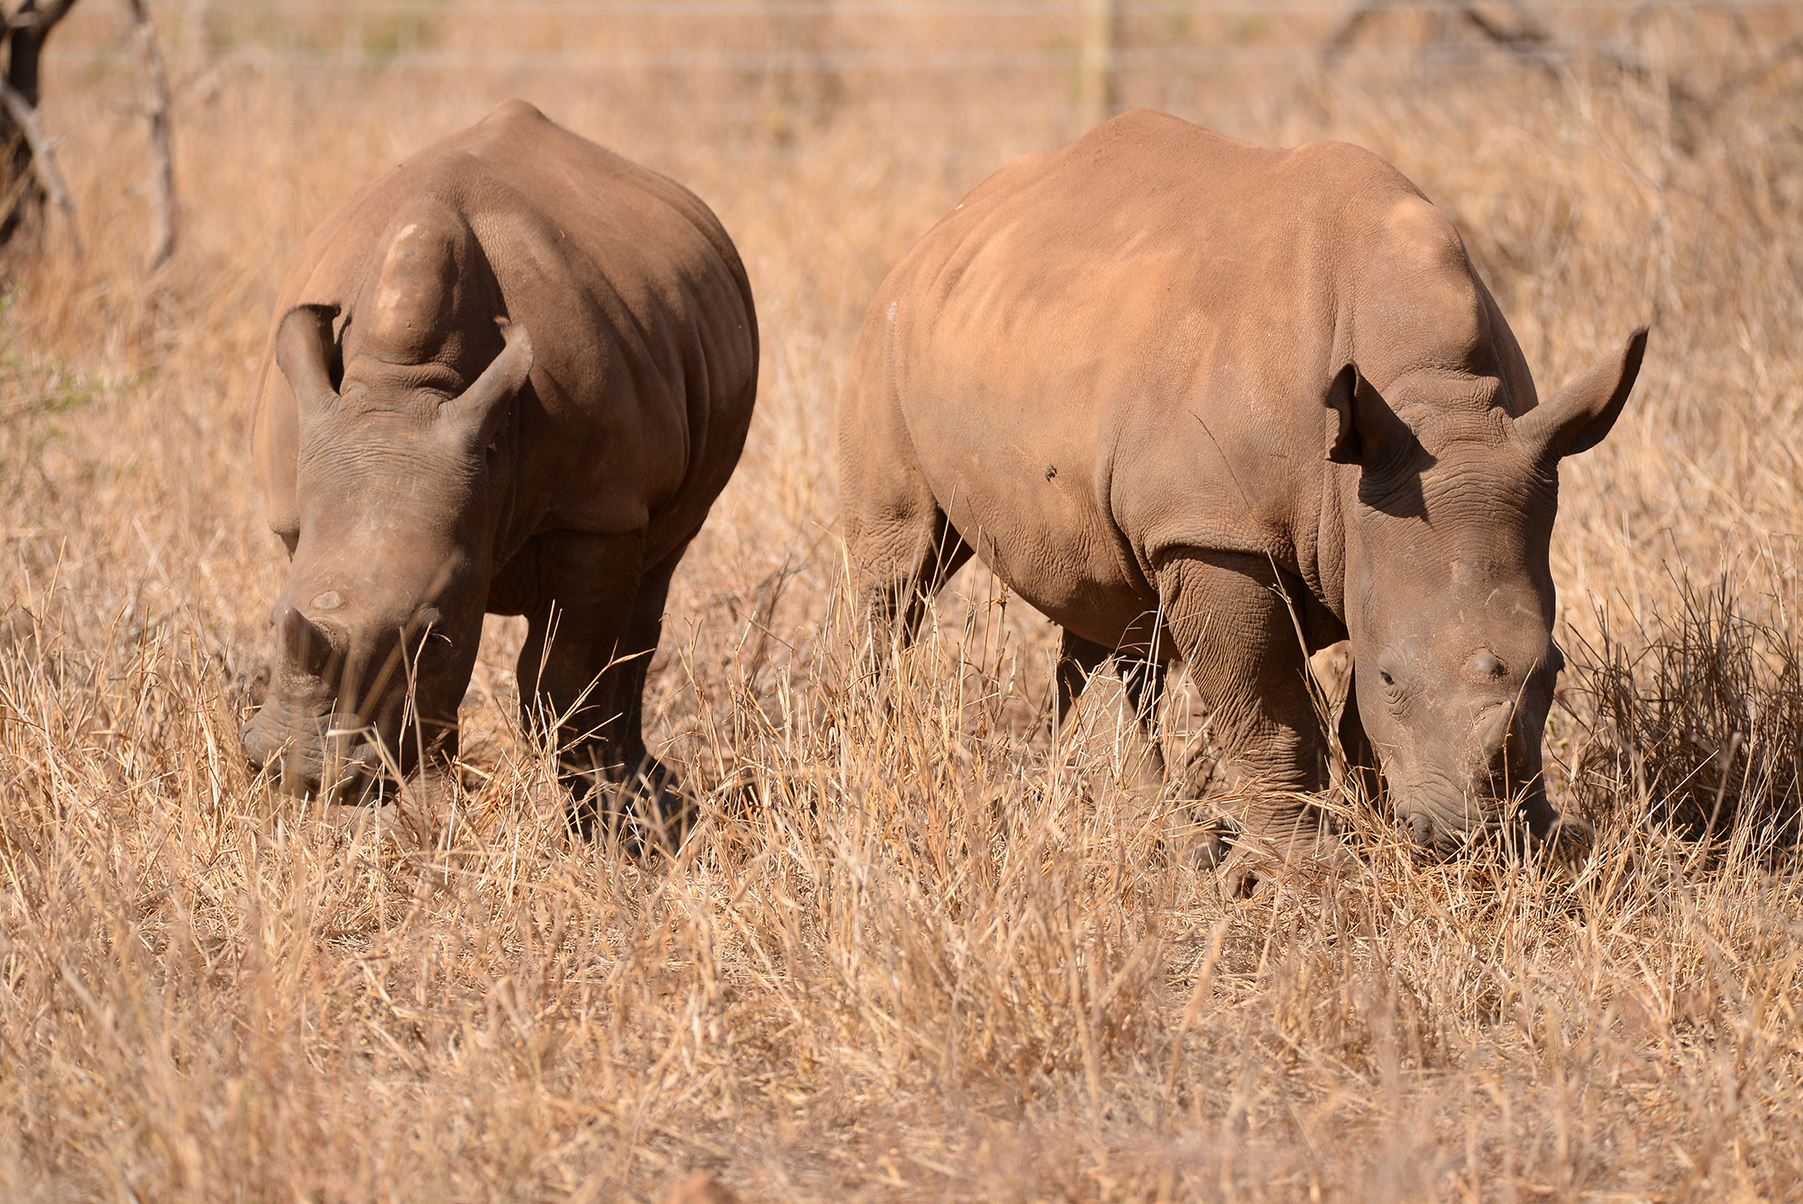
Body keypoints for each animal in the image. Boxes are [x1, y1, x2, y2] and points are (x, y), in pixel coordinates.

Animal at [240, 100, 758, 838]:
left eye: (431, 635)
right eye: (270, 617)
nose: (302, 774)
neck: (402, 387)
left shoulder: (596, 511)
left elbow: (561, 680)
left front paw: (605, 829)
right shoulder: (301, 514)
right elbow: (429, 706)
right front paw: (428, 824)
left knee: (654, 583)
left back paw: (652, 800)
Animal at [841, 110, 1645, 894]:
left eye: (1555, 668)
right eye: (1391, 673)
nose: (1479, 840)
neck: (1438, 397)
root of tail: (944, 226)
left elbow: (1350, 717)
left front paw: (1382, 832)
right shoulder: (1216, 530)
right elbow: (1266, 702)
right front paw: (1311, 872)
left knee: (1108, 608)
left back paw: (1133, 827)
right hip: (888, 335)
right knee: (899, 569)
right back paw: (867, 753)